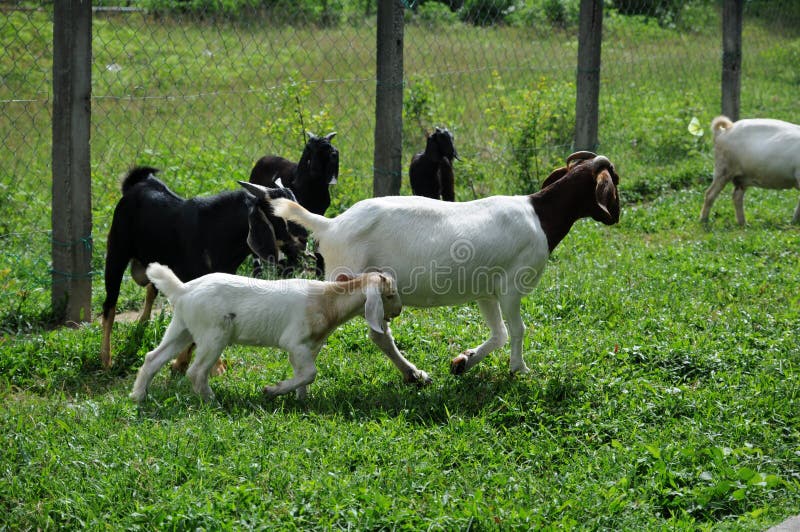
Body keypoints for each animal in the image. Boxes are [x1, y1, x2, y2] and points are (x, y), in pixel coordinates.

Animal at [101, 166, 300, 370]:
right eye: (282, 215)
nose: (304, 240)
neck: (216, 233)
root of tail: (139, 183)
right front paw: (194, 365)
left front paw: (191, 364)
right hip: (116, 253)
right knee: (109, 305)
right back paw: (106, 359)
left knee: (150, 290)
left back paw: (142, 323)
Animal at [129, 263, 402, 402]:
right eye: (389, 295)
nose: (398, 311)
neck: (329, 301)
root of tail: (182, 290)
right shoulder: (295, 343)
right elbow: (310, 373)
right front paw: (273, 390)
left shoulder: (308, 348)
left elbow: (303, 374)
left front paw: (302, 401)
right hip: (213, 335)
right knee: (196, 372)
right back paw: (212, 402)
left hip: (182, 328)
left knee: (153, 358)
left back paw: (138, 396)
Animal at [267, 152, 620, 384]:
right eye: (613, 181)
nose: (616, 215)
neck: (540, 216)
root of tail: (330, 225)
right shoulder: (511, 286)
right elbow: (518, 329)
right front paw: (520, 370)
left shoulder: (486, 291)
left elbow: (500, 333)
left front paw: (463, 362)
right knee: (371, 331)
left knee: (379, 334)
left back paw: (414, 374)